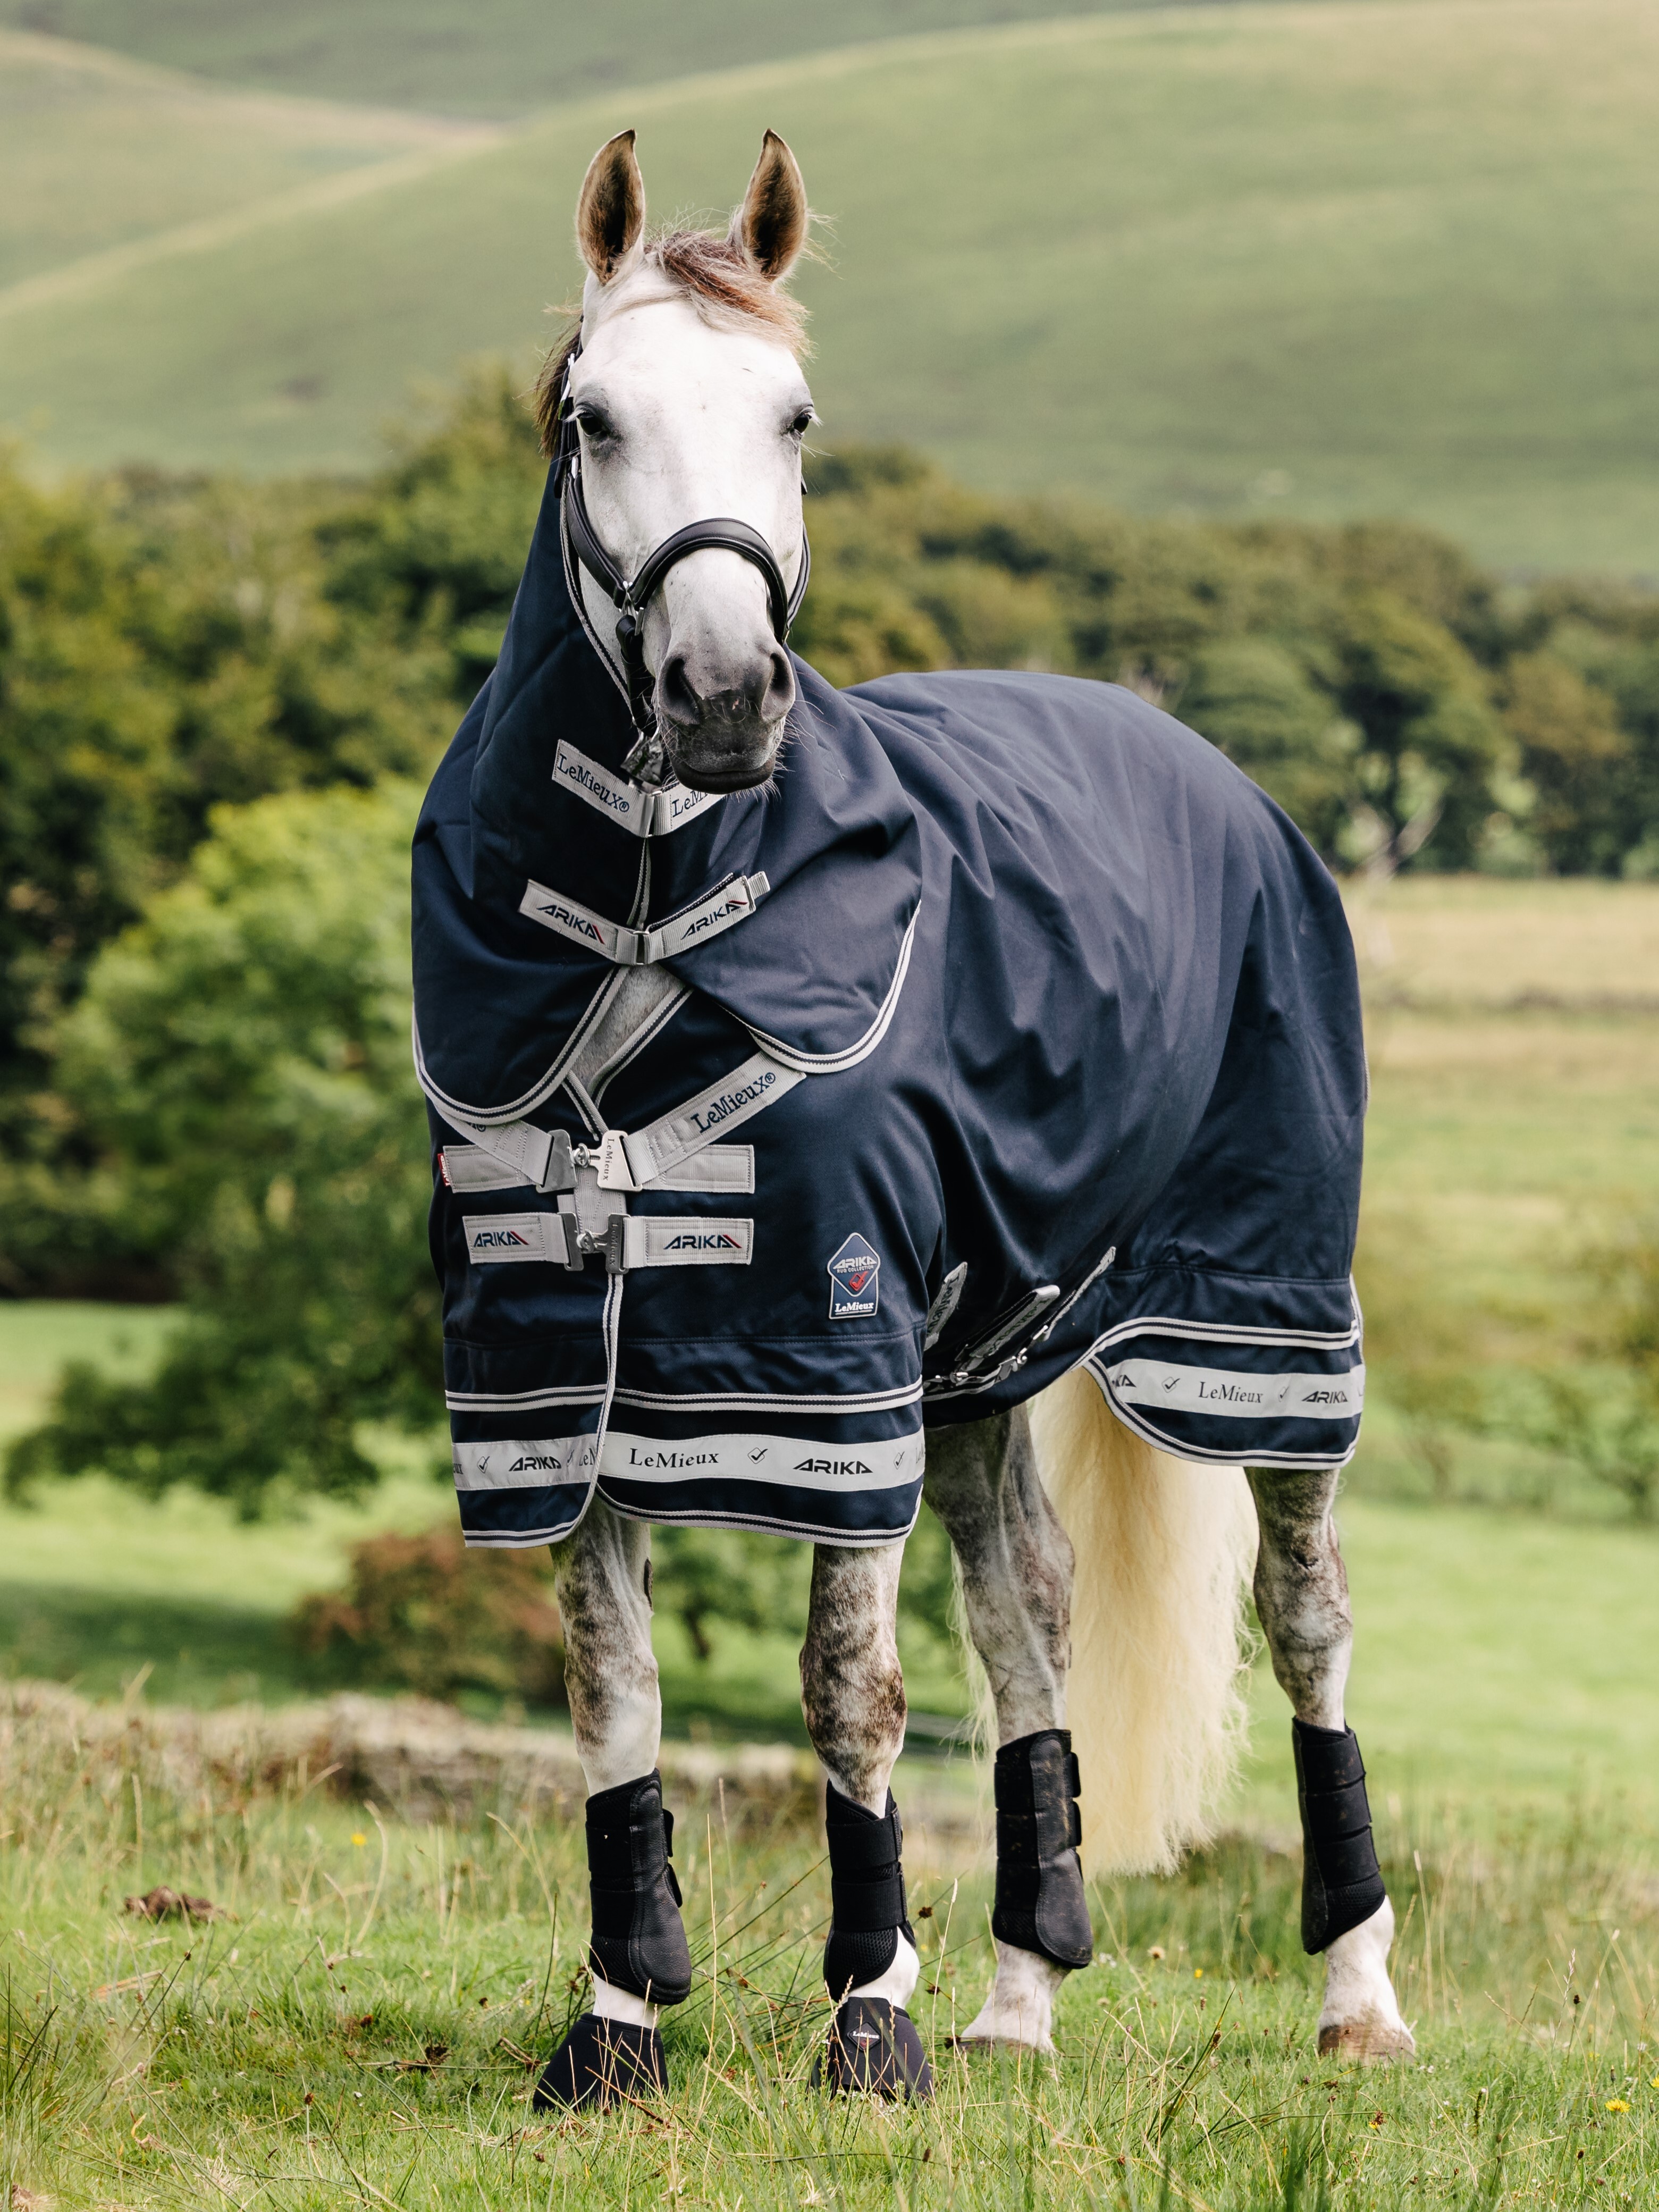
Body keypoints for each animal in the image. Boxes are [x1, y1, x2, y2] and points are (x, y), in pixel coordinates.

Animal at [410, 126, 1414, 2109]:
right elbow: (611, 1686)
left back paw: (1355, 1991)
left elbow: (846, 1686)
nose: (724, 697)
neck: (642, 927)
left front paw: (864, 2017)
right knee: (1025, 1611)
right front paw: (617, 2023)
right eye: (589, 414)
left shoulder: (830, 1353)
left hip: (1256, 1315)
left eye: (794, 416)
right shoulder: (552, 1364)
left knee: (1306, 1619)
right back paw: (1019, 1996)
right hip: (985, 1353)